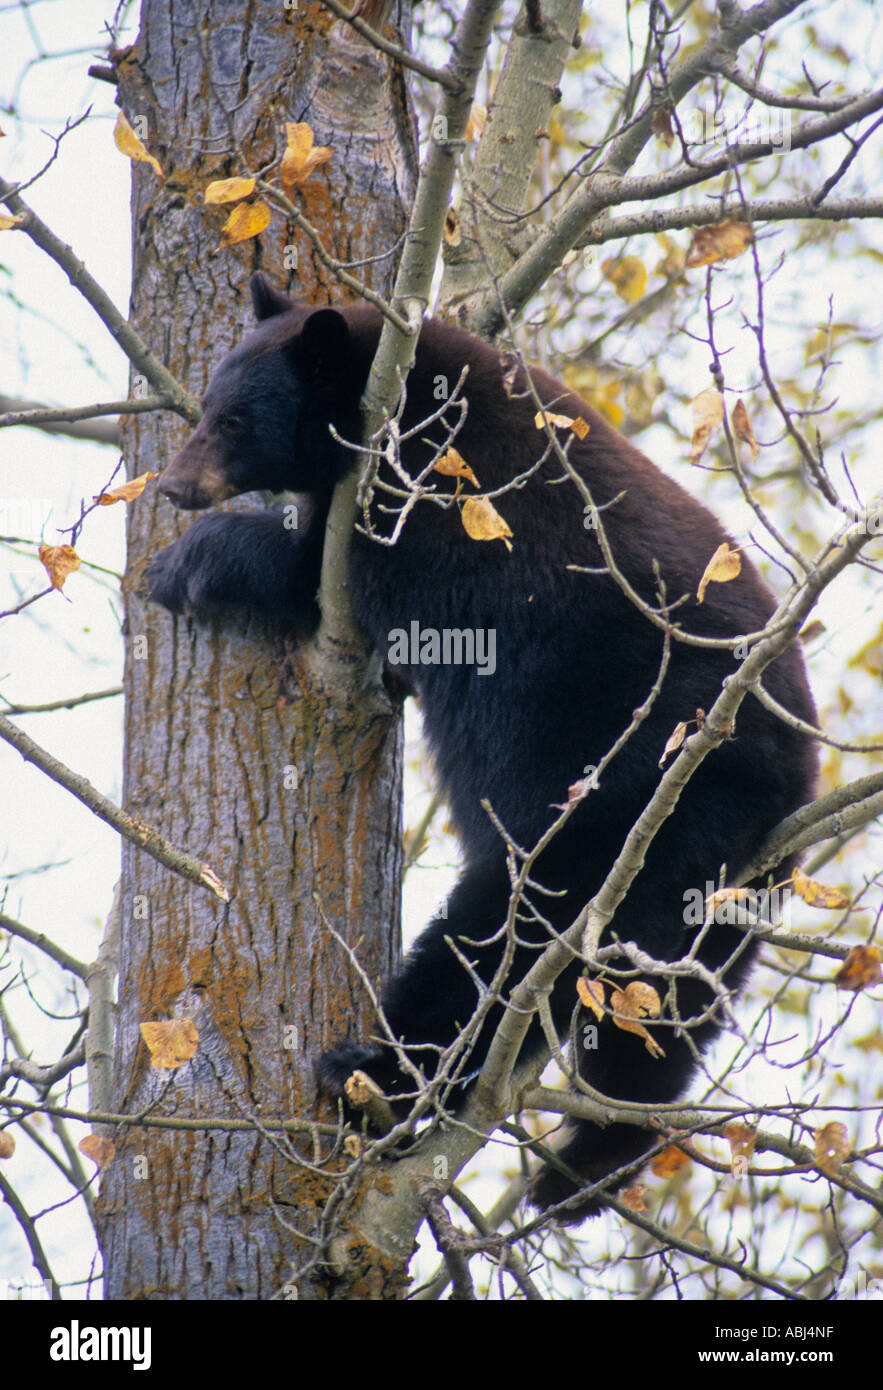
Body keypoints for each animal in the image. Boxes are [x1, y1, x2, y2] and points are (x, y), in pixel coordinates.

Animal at [148, 271, 818, 1222]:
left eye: (236, 420)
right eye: (208, 405)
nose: (172, 486)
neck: (402, 401)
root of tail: (790, 778)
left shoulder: (420, 511)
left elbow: (310, 578)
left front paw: (186, 564)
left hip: (612, 807)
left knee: (499, 948)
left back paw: (379, 1075)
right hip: (713, 883)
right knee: (664, 1013)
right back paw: (581, 1165)